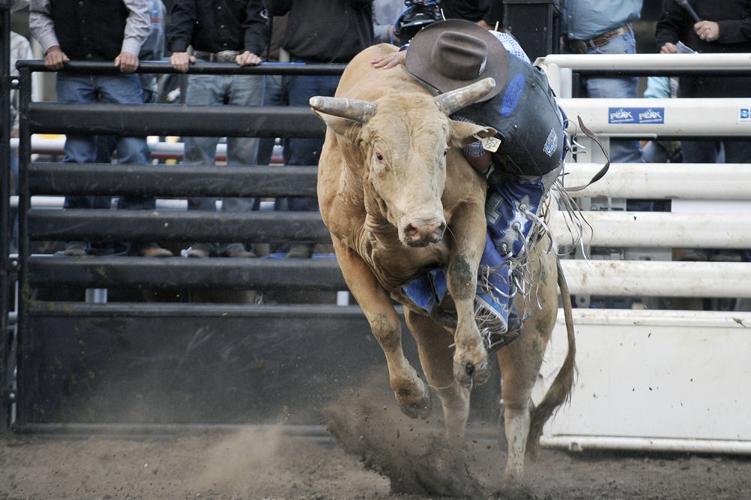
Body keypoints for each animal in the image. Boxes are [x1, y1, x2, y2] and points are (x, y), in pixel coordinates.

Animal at [311, 43, 576, 482]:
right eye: (379, 155)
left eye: (442, 151)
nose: (424, 226)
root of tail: (552, 262)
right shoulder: (343, 246)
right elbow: (382, 324)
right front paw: (411, 397)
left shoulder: (468, 210)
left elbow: (463, 274)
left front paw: (471, 356)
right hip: (428, 329)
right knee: (454, 399)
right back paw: (449, 465)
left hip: (534, 329)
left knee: (517, 407)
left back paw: (511, 480)